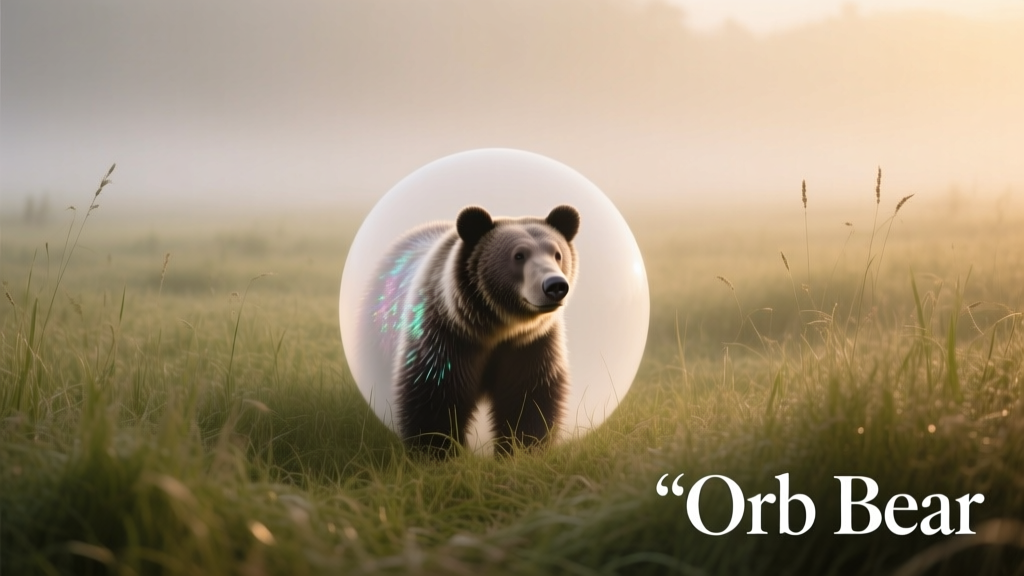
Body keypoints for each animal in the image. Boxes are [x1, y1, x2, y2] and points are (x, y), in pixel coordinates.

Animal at [364, 204, 580, 457]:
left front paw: (521, 449)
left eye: (557, 254)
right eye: (519, 255)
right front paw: (438, 451)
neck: (497, 328)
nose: (555, 285)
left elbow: (529, 399)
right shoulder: (446, 338)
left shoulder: (530, 345)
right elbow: (433, 397)